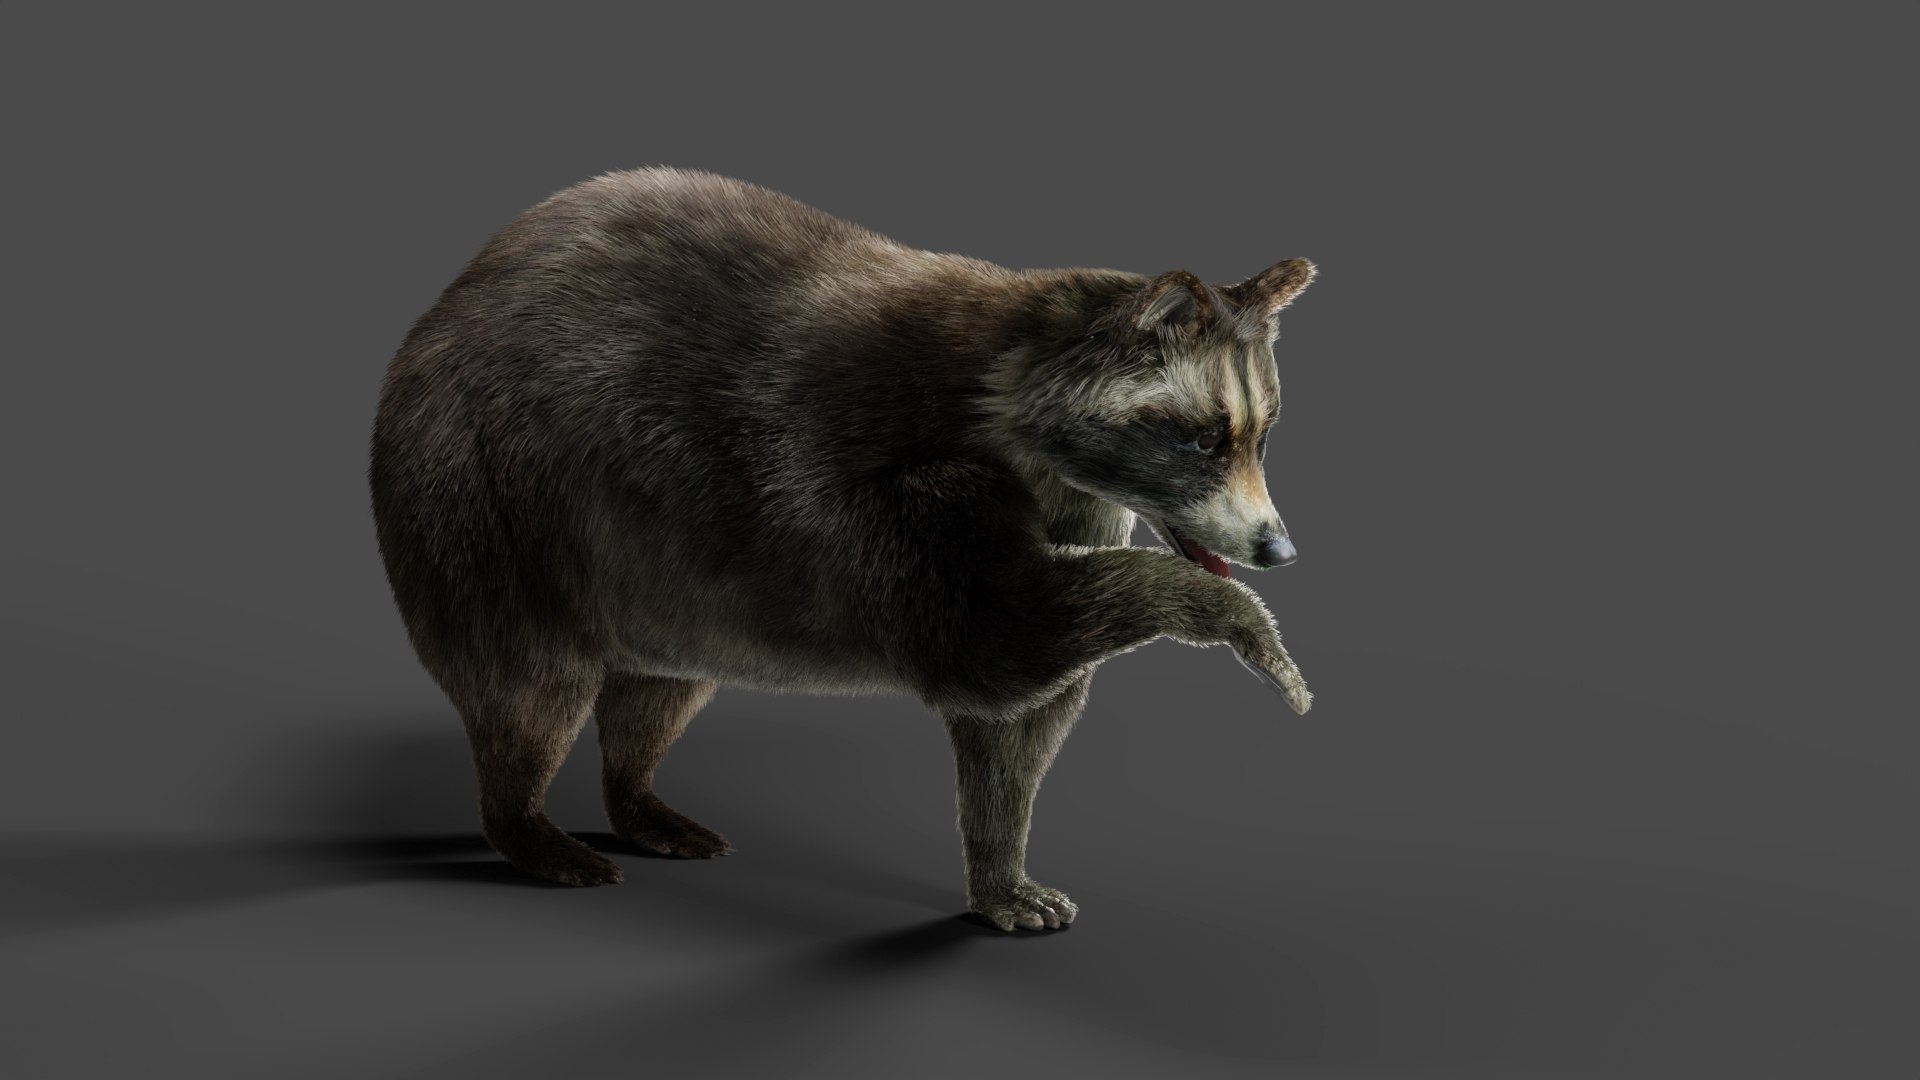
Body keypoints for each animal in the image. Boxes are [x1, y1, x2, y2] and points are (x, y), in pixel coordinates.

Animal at [368, 167, 1316, 931]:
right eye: (1202, 438)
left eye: (1261, 434)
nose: (1278, 550)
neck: (1010, 385)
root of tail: (455, 292)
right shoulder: (883, 484)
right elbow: (989, 641)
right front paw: (1232, 615)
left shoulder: (1066, 509)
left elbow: (1015, 729)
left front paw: (1000, 872)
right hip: (491, 499)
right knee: (529, 684)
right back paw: (525, 821)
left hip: (664, 569)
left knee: (656, 693)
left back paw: (636, 798)